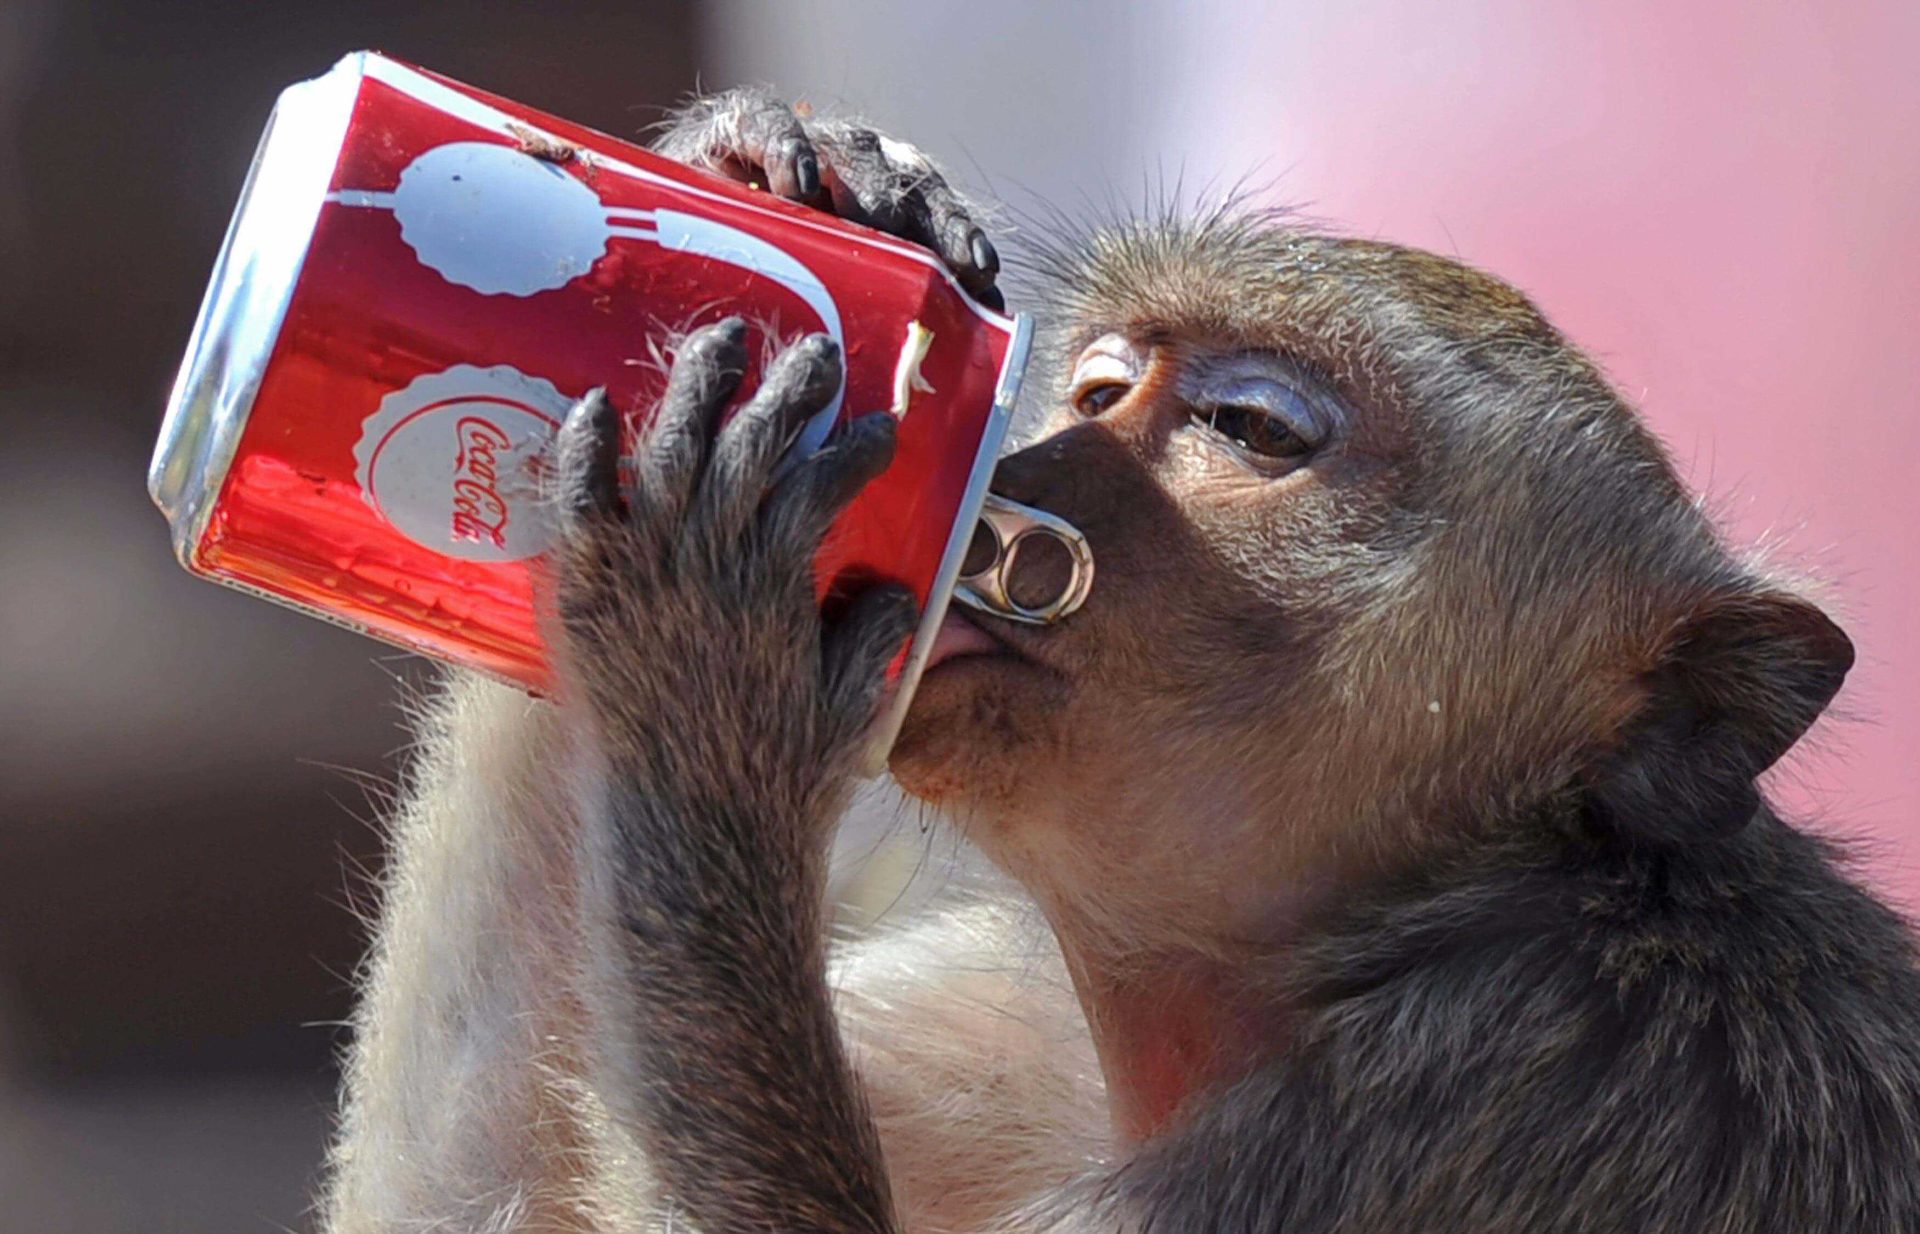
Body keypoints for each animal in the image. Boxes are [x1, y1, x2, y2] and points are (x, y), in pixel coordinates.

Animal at [317, 87, 1920, 1233]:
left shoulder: (1502, 1087)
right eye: (1094, 389)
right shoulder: (1004, 1028)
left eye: (1253, 429)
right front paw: (769, 179)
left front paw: (709, 678)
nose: (1019, 474)